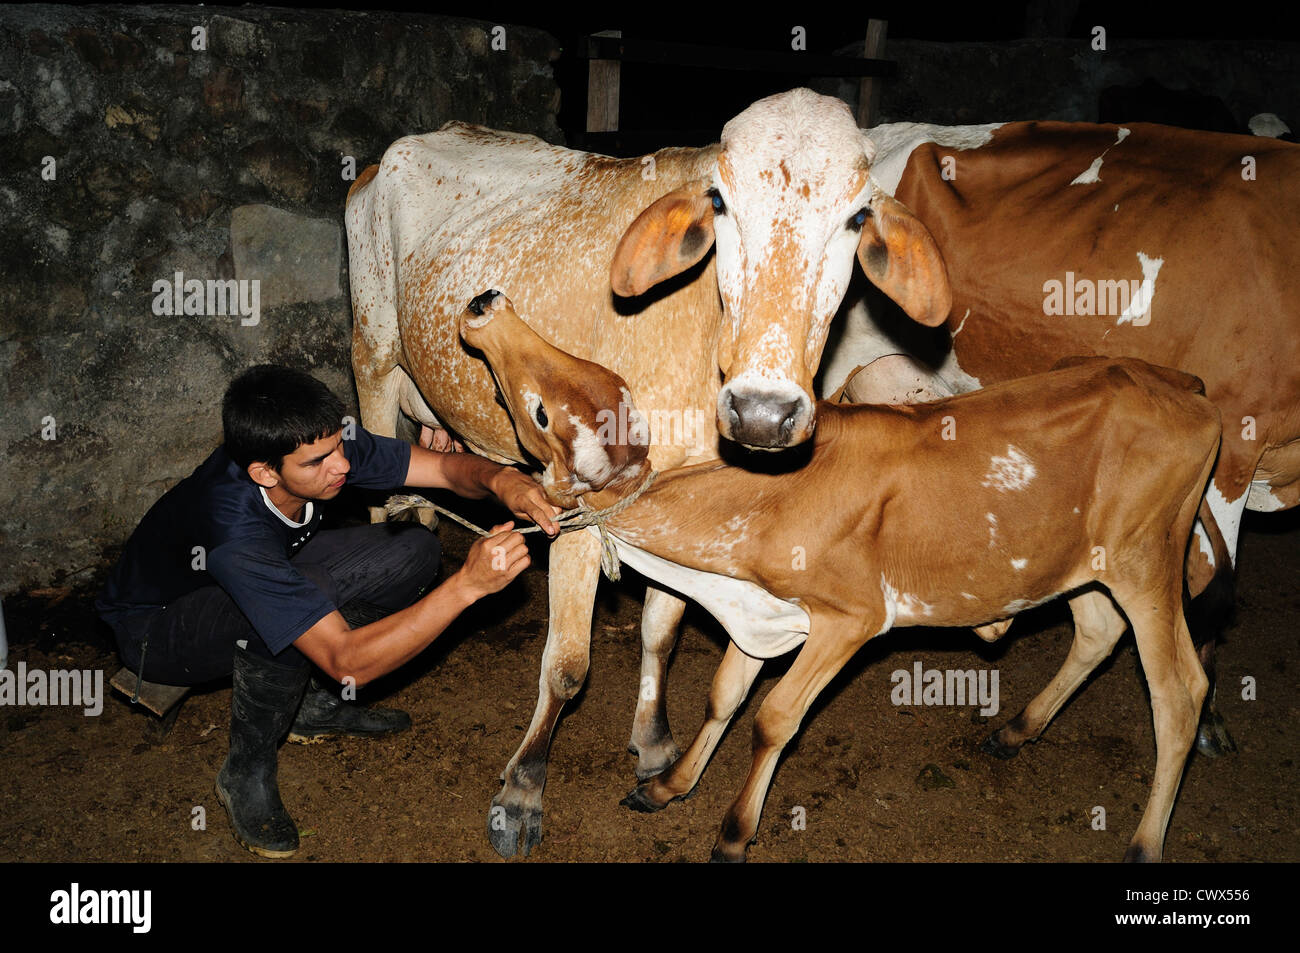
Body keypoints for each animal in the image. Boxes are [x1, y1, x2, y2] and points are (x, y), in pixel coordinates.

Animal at [343, 88, 952, 857]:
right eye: (719, 200)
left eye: (856, 215)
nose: (763, 411)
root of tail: (386, 157)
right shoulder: (576, 504)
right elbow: (568, 665)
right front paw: (522, 793)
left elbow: (661, 631)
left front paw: (655, 744)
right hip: (373, 351)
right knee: (376, 478)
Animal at [460, 289, 1225, 862]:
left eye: (540, 412)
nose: (484, 305)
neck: (765, 500)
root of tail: (1185, 387)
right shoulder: (763, 615)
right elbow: (723, 695)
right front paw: (668, 785)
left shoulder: (850, 621)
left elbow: (774, 718)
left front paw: (732, 833)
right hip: (1081, 569)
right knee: (1096, 634)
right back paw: (1014, 730)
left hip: (1147, 565)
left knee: (1180, 694)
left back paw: (1143, 843)